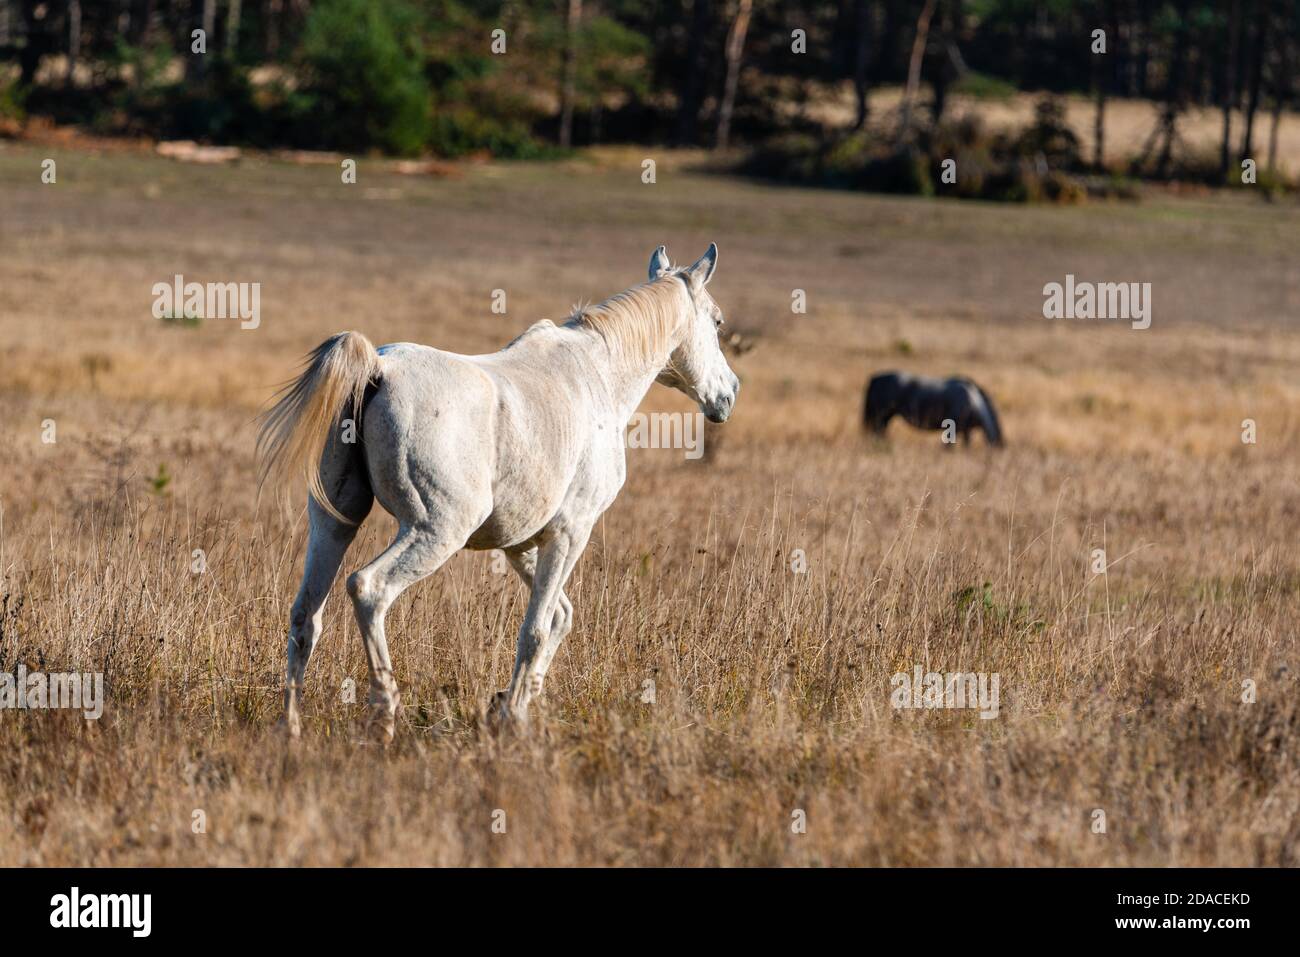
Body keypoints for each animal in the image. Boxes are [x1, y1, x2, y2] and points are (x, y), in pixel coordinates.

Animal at [258, 244, 740, 739]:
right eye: (717, 321)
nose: (728, 394)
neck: (596, 375)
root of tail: (378, 367)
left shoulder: (520, 543)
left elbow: (559, 617)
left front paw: (514, 703)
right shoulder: (571, 533)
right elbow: (537, 629)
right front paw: (512, 718)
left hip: (334, 524)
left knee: (306, 614)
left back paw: (291, 727)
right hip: (436, 531)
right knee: (369, 590)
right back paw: (384, 714)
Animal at [863, 371, 1003, 447]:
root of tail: (876, 378)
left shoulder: (966, 430)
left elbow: (966, 445)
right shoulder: (953, 427)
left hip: (886, 416)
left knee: (881, 431)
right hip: (881, 414)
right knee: (878, 431)